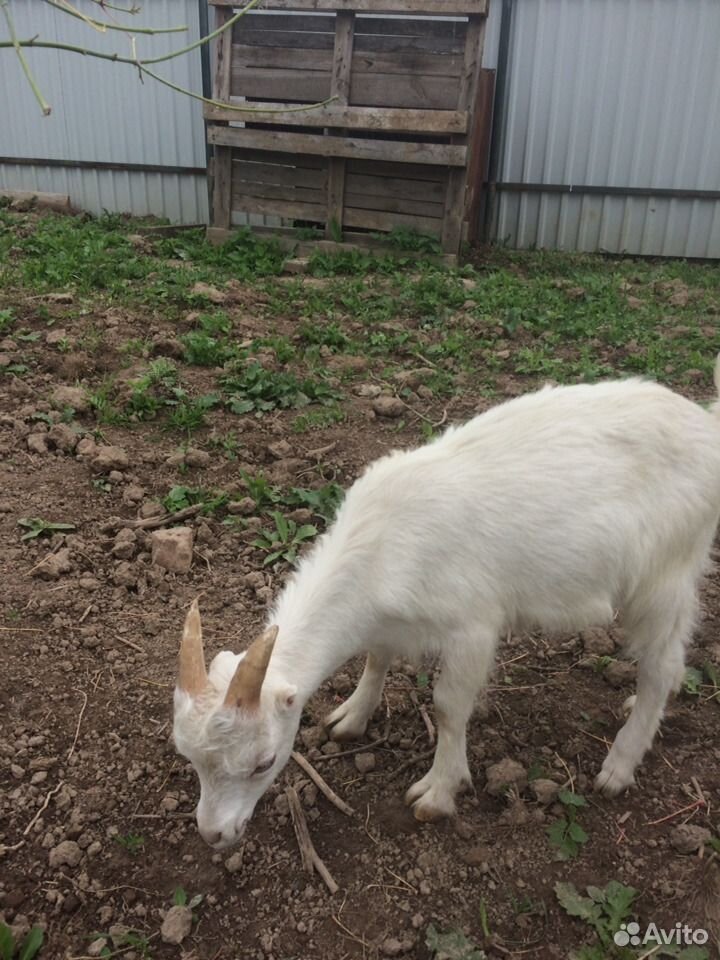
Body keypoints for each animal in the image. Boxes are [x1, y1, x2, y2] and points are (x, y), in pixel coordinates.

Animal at [173, 360, 720, 849]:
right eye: (190, 758)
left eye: (264, 762)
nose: (215, 834)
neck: (379, 546)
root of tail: (706, 426)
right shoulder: (389, 620)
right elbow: (377, 657)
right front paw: (351, 716)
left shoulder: (473, 627)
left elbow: (449, 707)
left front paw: (438, 791)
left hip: (665, 574)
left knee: (665, 664)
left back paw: (620, 764)